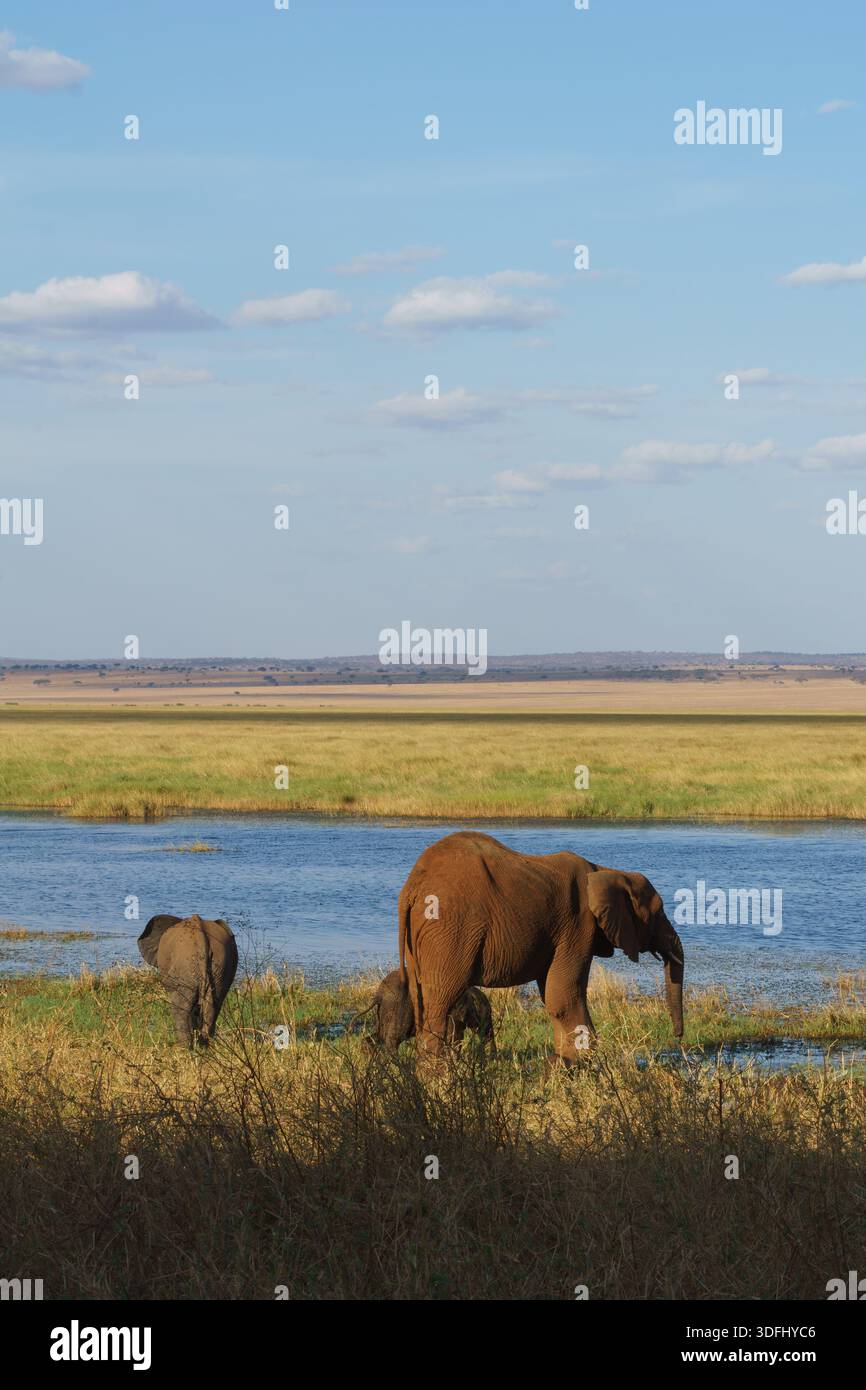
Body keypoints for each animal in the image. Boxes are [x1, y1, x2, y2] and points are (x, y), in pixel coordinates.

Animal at [137, 913, 238, 1046]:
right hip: (220, 967)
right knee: (212, 1006)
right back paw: (204, 1045)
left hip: (184, 968)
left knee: (181, 1007)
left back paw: (184, 1047)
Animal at [352, 968, 494, 1051]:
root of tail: (379, 994)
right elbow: (453, 1038)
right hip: (398, 1007)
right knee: (393, 1039)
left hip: (385, 1011)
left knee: (378, 1037)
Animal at [397, 831, 684, 1062]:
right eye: (659, 912)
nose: (678, 1037)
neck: (606, 871)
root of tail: (412, 887)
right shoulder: (578, 924)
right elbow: (563, 996)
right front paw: (582, 1063)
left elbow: (551, 993)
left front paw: (565, 1063)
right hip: (450, 930)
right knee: (440, 1002)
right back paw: (438, 1075)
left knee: (423, 997)